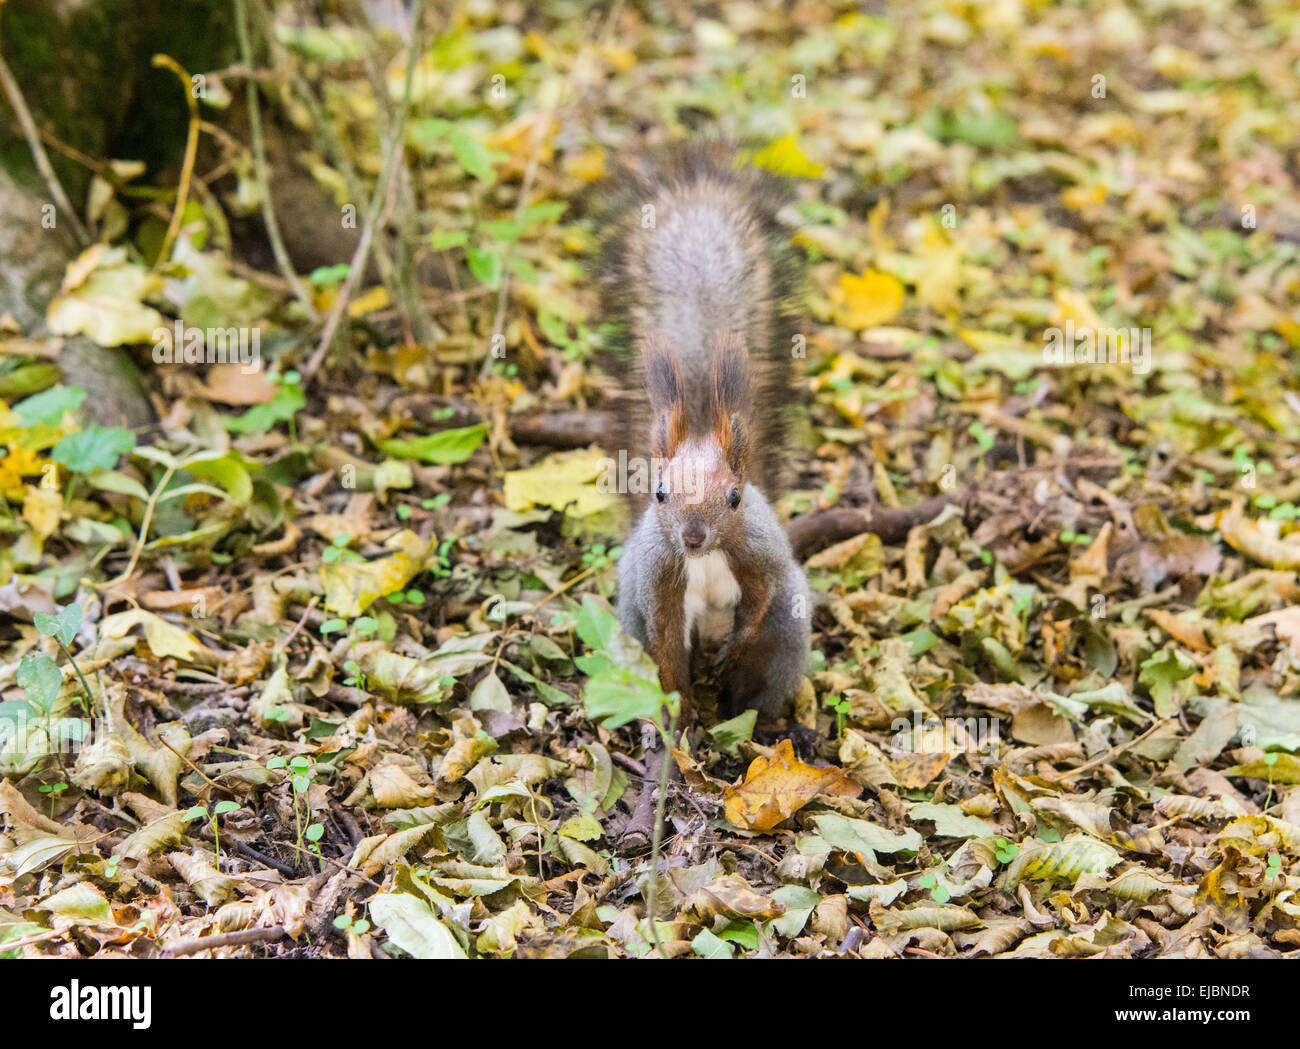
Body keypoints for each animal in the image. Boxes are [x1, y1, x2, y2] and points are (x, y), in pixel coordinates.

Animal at [598, 143, 811, 726]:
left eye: (735, 497)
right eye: (658, 493)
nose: (693, 537)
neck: (704, 559)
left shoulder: (759, 553)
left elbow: (759, 600)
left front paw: (733, 648)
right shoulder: (658, 583)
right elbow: (669, 649)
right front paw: (682, 712)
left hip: (790, 629)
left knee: (766, 675)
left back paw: (765, 721)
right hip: (629, 620)